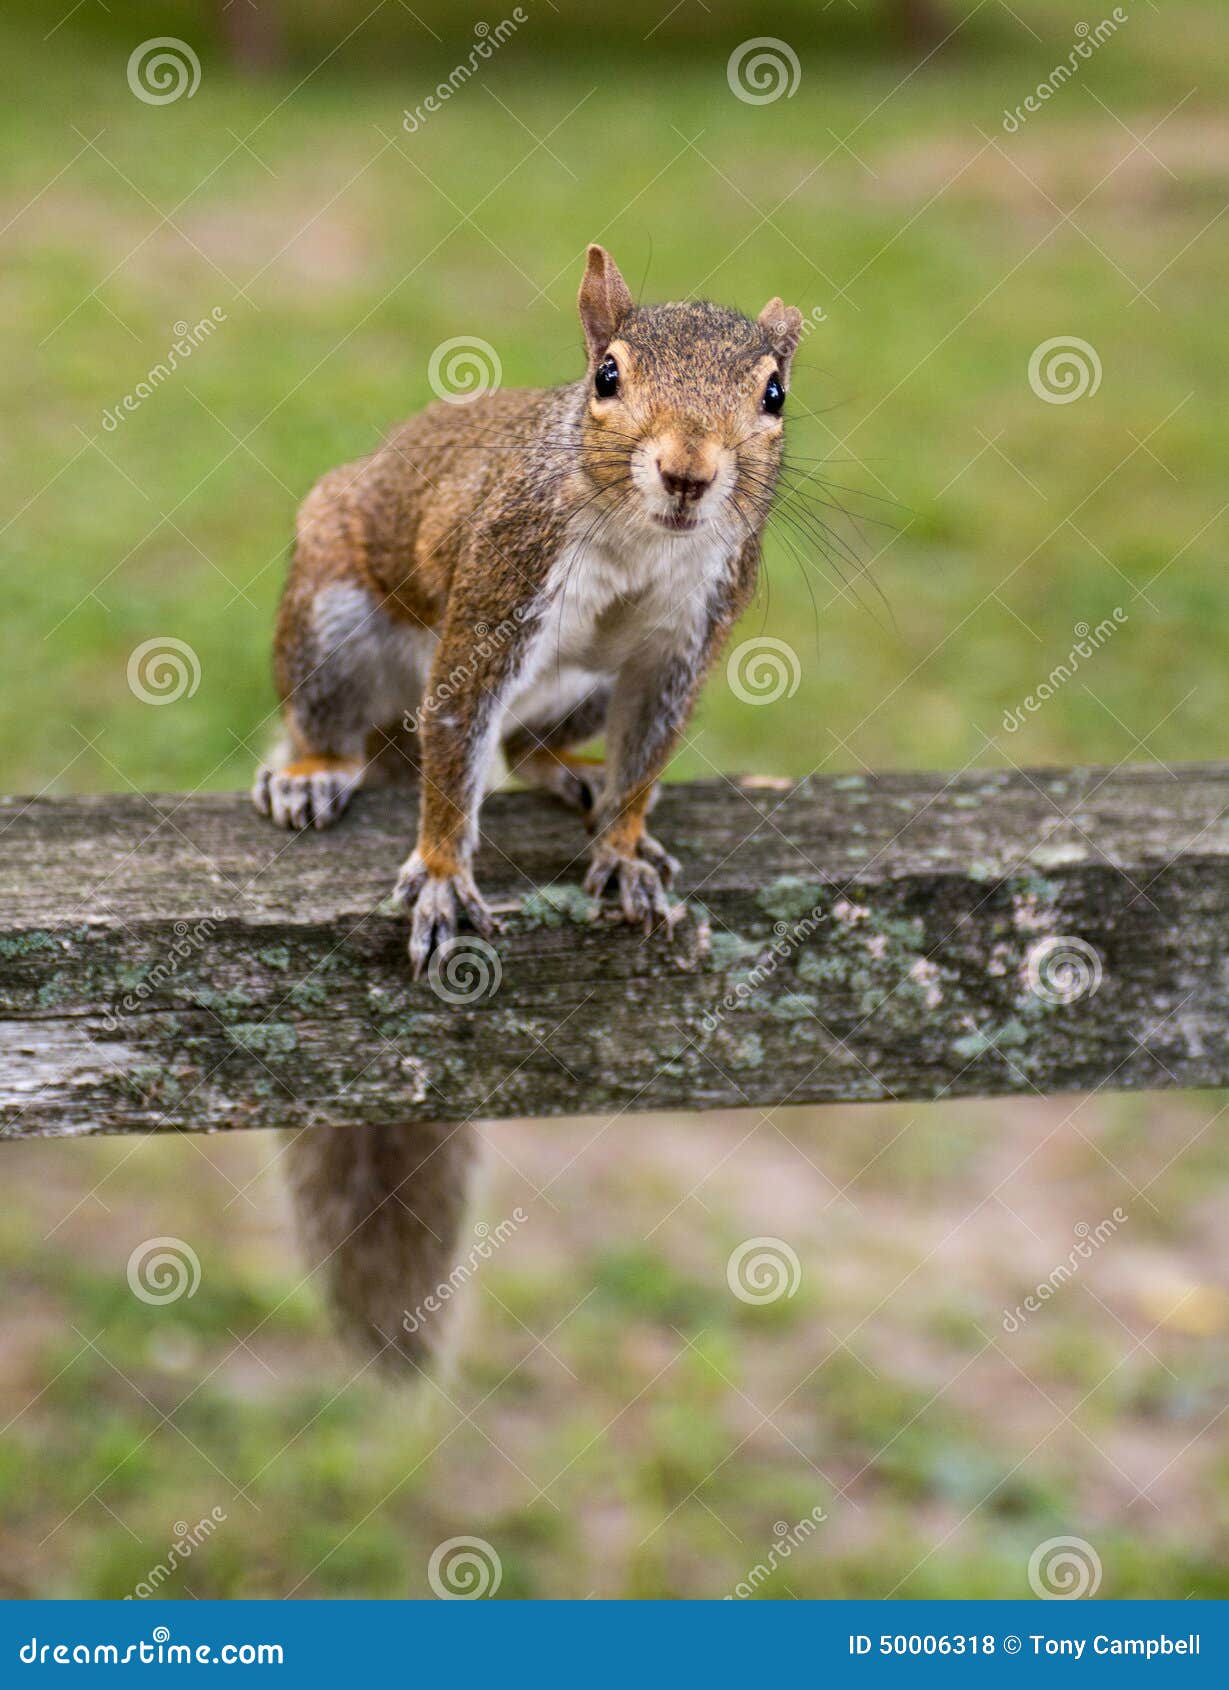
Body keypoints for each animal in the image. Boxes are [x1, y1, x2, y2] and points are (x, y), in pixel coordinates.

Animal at [255, 246, 802, 1371]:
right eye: (606, 375)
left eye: (774, 393)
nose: (688, 473)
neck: (643, 537)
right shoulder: (500, 583)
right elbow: (458, 724)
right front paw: (440, 875)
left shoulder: (687, 636)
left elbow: (650, 748)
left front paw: (624, 845)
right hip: (334, 618)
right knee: (382, 730)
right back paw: (315, 771)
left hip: (581, 685)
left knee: (520, 746)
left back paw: (574, 776)